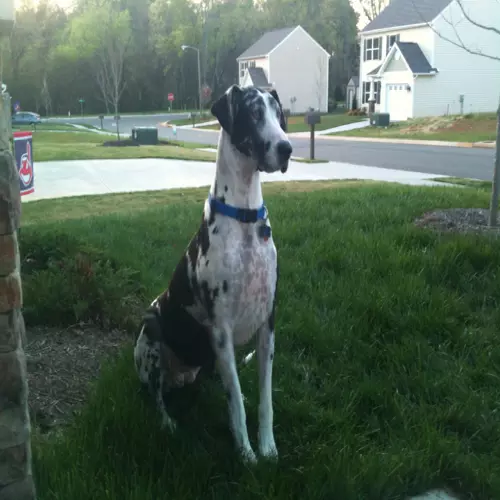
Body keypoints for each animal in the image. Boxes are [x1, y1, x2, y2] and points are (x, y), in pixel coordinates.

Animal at [134, 84, 292, 462]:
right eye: (253, 113)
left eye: (277, 112)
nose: (287, 148)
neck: (245, 218)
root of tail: (180, 377)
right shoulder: (221, 330)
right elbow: (235, 404)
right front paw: (246, 454)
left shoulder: (268, 324)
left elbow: (264, 400)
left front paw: (267, 447)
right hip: (151, 329)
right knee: (155, 395)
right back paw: (167, 422)